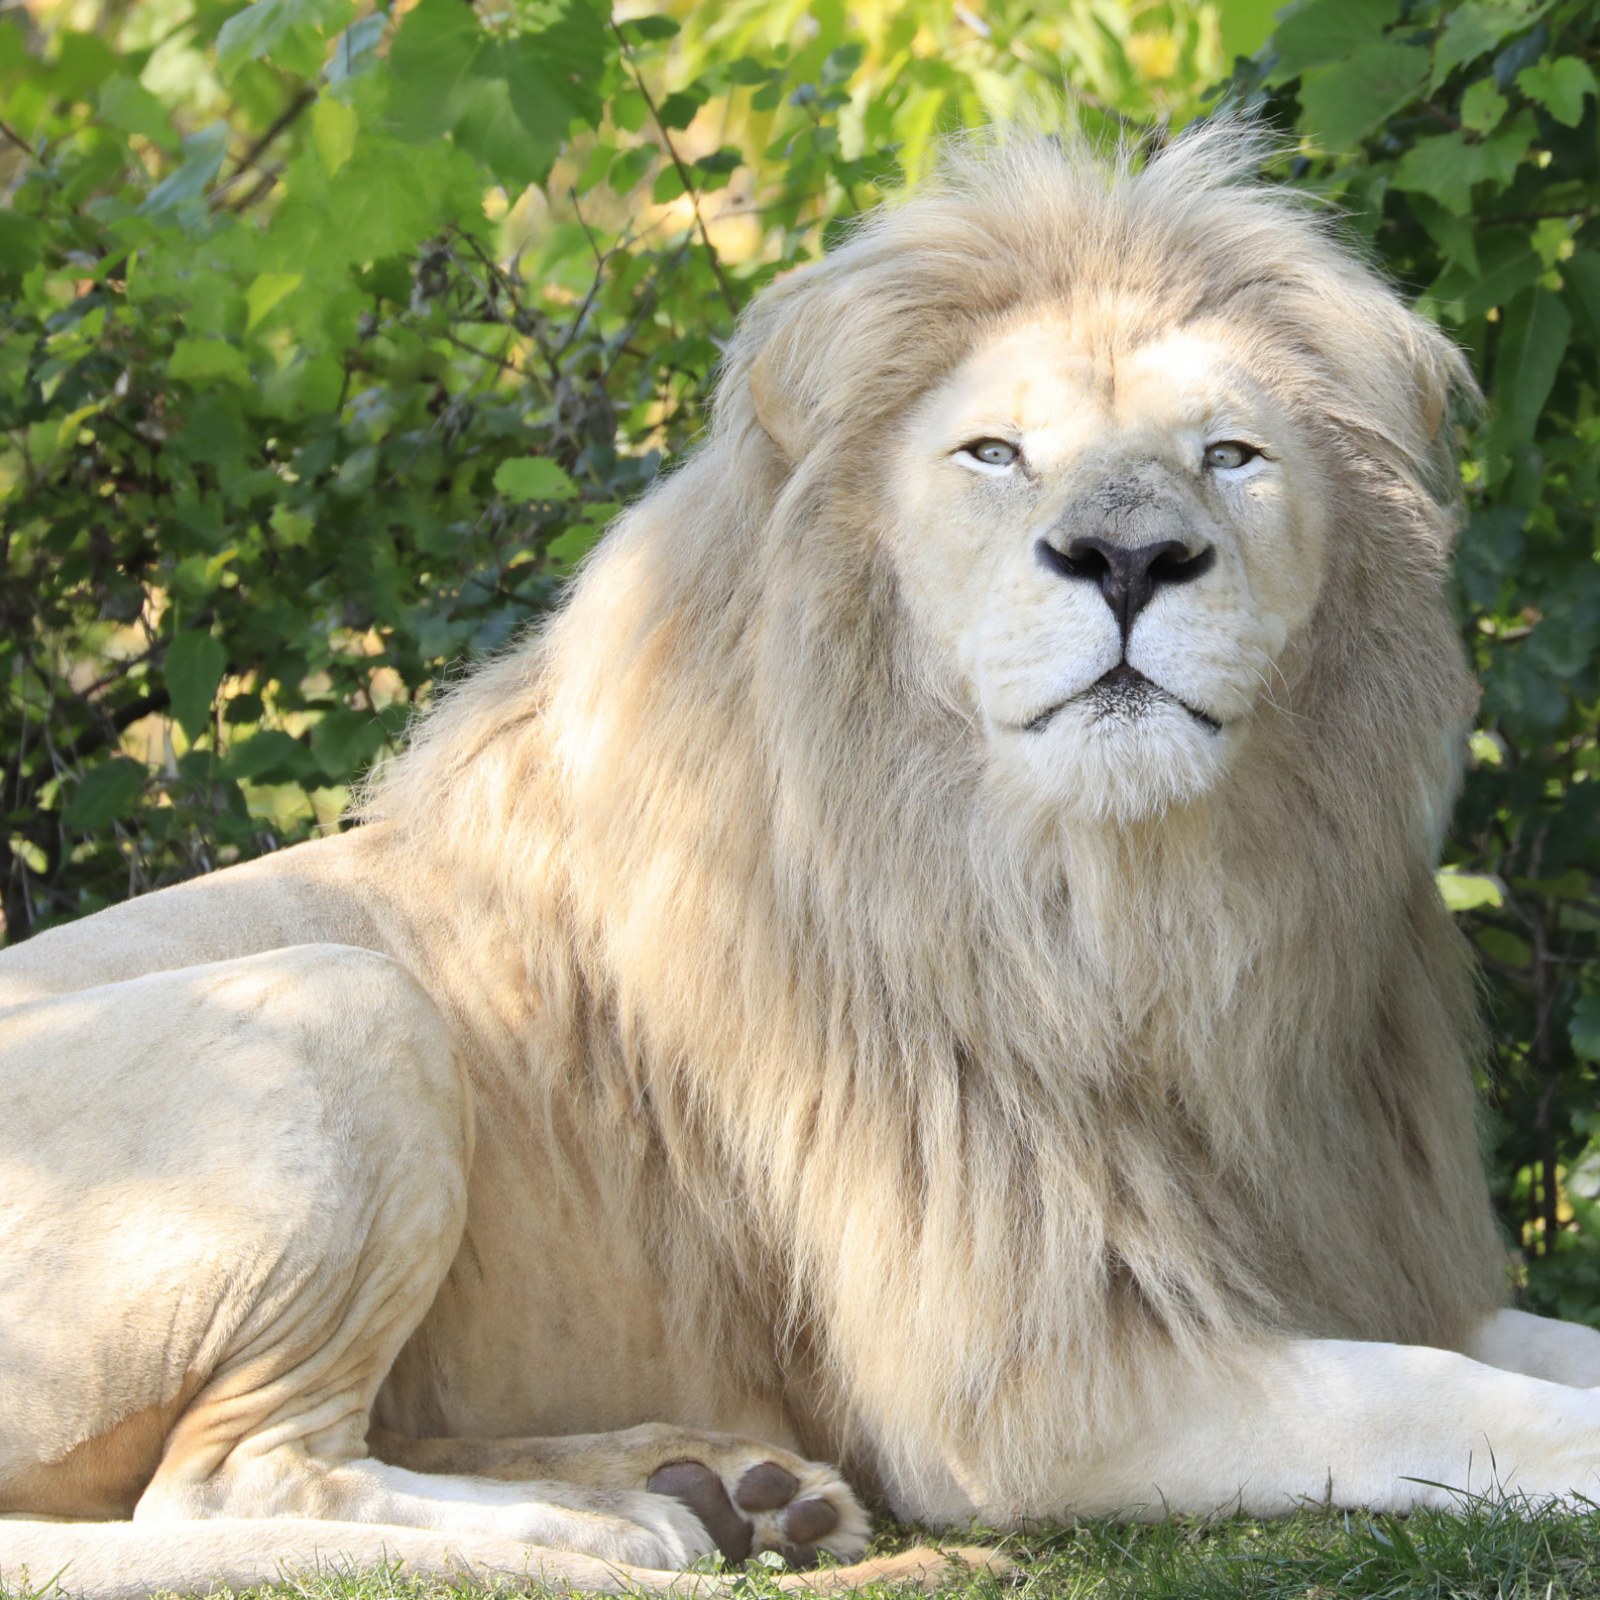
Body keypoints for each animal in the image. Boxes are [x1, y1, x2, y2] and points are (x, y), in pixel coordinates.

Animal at [3, 122, 1600, 1600]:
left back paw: (718, 1485)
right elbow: (1455, 1401)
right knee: (226, 1487)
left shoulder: (1355, 1256)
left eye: (1232, 457)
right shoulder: (1028, 1389)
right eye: (995, 453)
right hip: (341, 1011)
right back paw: (597, 1529)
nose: (1129, 558)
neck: (1132, 919)